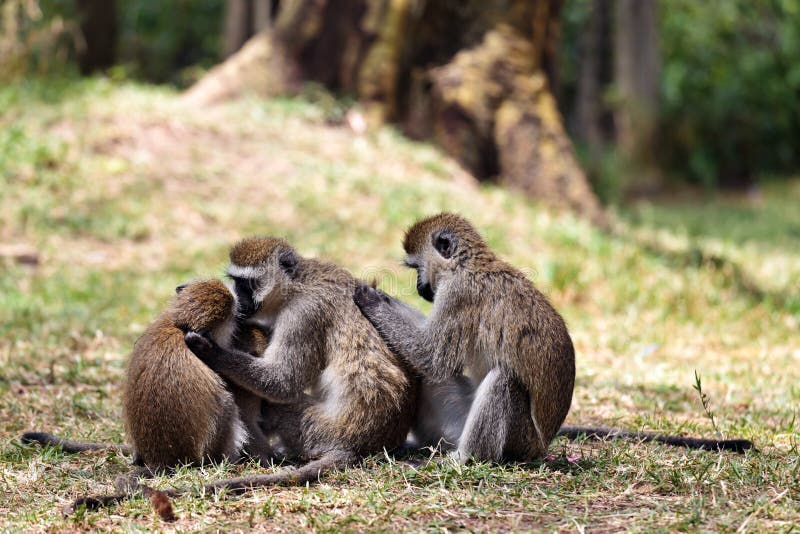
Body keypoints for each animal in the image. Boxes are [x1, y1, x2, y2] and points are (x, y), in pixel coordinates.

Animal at [353, 213, 753, 462]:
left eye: (417, 268)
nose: (421, 288)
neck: (469, 263)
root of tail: (543, 443)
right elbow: (429, 357)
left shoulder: (459, 295)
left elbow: (433, 357)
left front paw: (369, 299)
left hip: (519, 438)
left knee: (504, 382)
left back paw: (465, 459)